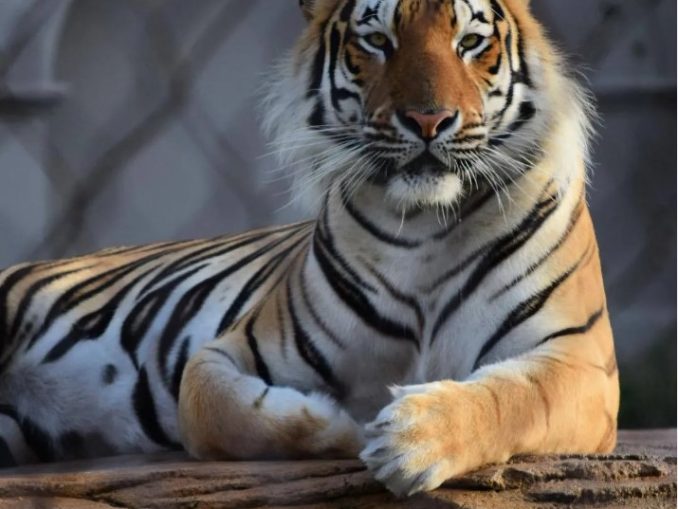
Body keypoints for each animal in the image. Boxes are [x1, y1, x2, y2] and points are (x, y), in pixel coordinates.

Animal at [0, 0, 619, 497]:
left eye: (469, 42)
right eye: (378, 41)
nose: (428, 120)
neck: (425, 227)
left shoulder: (581, 362)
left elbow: (513, 400)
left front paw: (411, 438)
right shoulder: (230, 350)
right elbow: (213, 409)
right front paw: (344, 425)